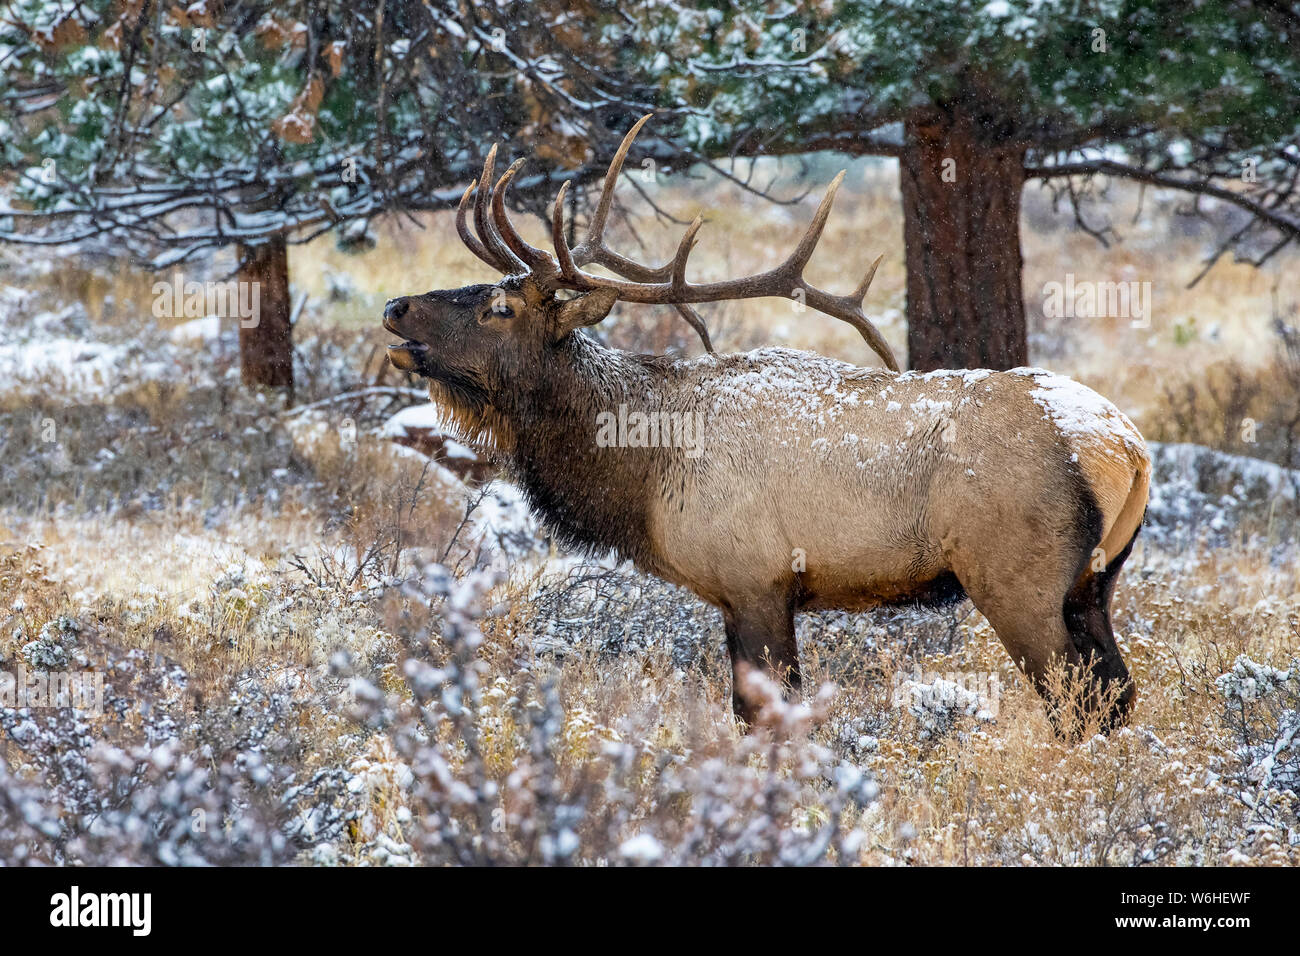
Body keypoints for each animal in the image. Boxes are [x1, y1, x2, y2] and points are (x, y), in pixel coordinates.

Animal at [382, 116, 1150, 734]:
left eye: (500, 309)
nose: (395, 307)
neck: (644, 475)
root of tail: (1126, 449)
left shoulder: (757, 578)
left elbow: (769, 716)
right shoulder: (731, 593)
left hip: (1017, 578)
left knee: (1077, 699)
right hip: (1095, 582)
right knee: (1117, 693)